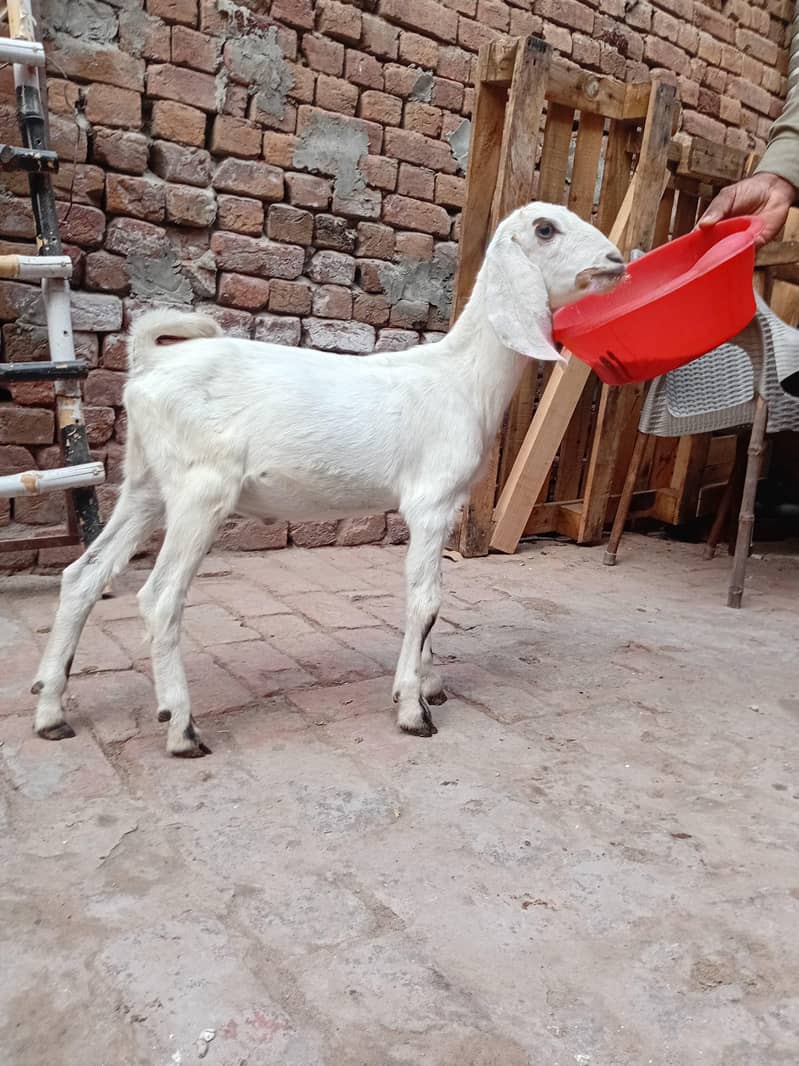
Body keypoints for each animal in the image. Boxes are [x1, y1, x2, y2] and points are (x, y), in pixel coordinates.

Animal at [31, 203, 625, 757]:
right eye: (545, 229)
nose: (617, 260)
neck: (460, 378)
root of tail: (147, 368)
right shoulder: (431, 501)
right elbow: (427, 601)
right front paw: (413, 708)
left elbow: (425, 598)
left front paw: (429, 682)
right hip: (202, 490)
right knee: (159, 598)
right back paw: (180, 727)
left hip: (146, 485)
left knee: (83, 576)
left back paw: (51, 710)